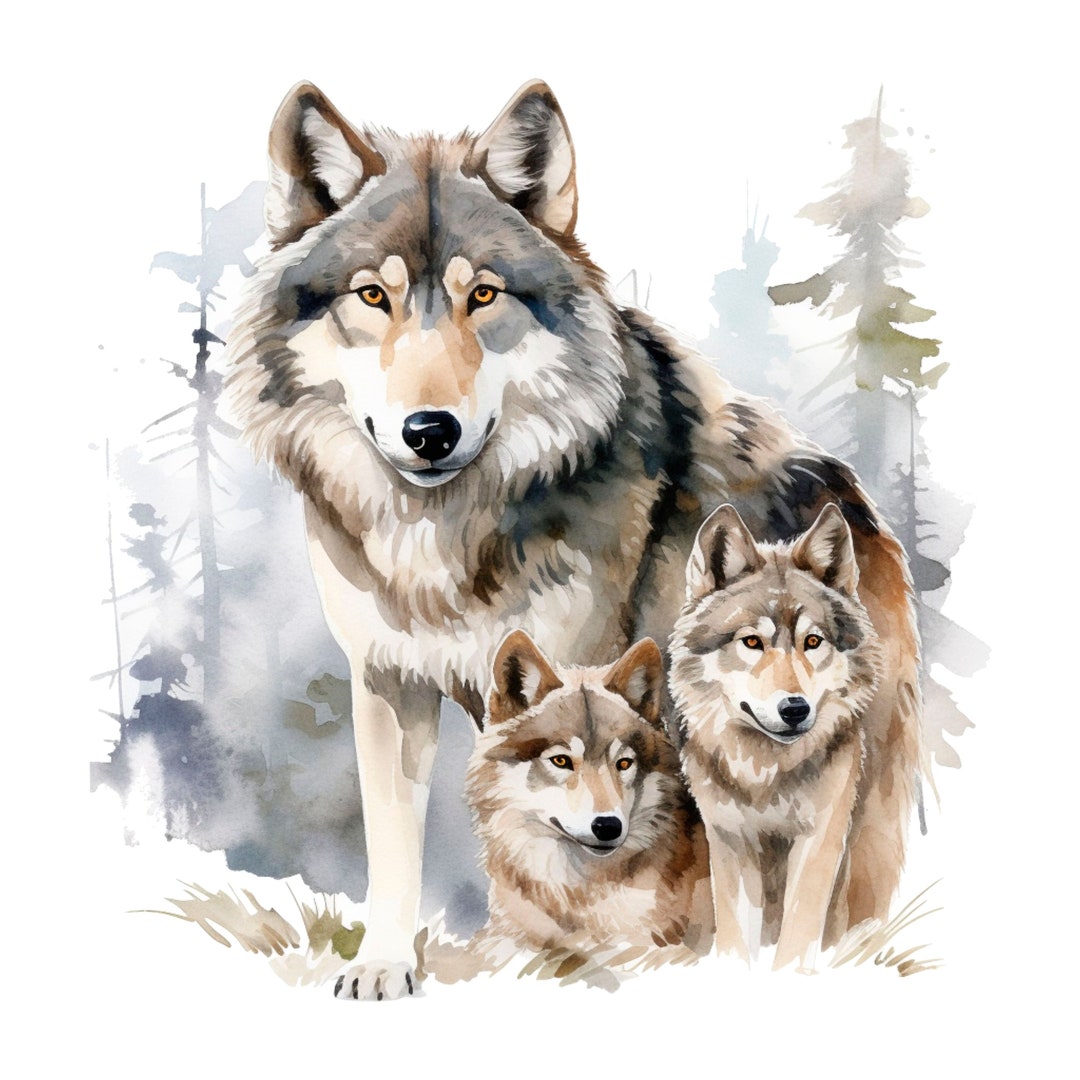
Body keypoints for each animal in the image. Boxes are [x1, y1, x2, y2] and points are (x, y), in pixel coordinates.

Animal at [669, 503, 886, 970]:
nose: (795, 709)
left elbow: (799, 932)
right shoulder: (731, 841)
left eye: (812, 641)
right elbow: (736, 939)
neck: (766, 776)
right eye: (751, 642)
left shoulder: (820, 839)